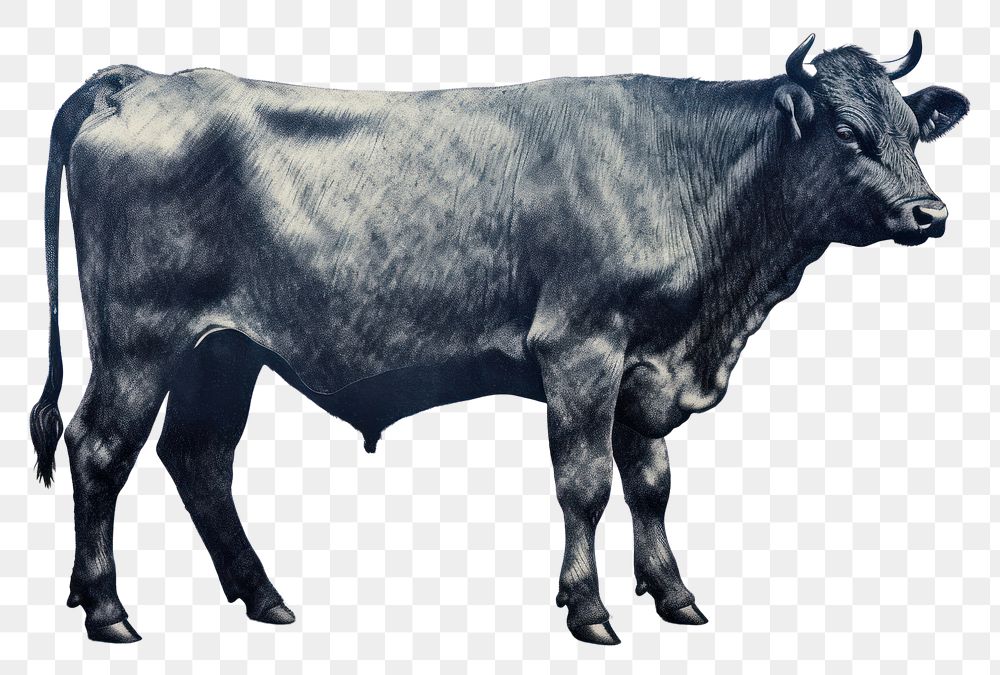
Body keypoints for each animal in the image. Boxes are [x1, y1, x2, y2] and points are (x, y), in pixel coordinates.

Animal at [29, 31, 968, 645]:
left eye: (911, 128)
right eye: (846, 131)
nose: (931, 213)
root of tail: (138, 79)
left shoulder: (644, 366)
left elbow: (652, 484)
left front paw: (674, 594)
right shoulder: (581, 348)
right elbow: (586, 484)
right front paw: (588, 608)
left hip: (221, 351)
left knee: (198, 457)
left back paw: (262, 595)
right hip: (140, 338)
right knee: (99, 446)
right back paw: (107, 609)